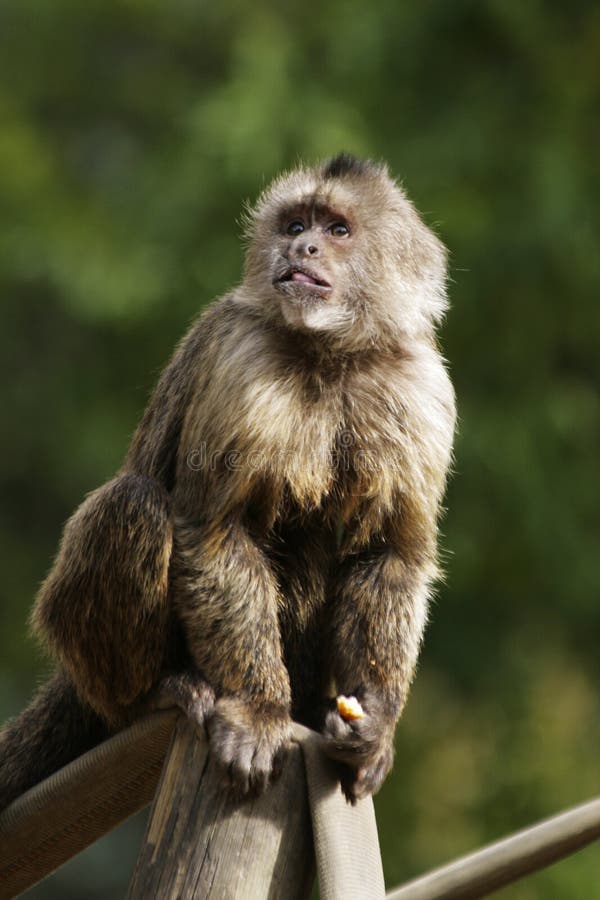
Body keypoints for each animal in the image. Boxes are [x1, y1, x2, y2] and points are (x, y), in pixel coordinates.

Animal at [0, 153, 455, 810]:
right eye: (296, 225)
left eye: (337, 230)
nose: (304, 249)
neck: (331, 356)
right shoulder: (244, 357)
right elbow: (216, 531)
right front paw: (258, 709)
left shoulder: (421, 389)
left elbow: (391, 555)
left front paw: (374, 724)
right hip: (77, 641)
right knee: (135, 502)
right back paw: (152, 694)